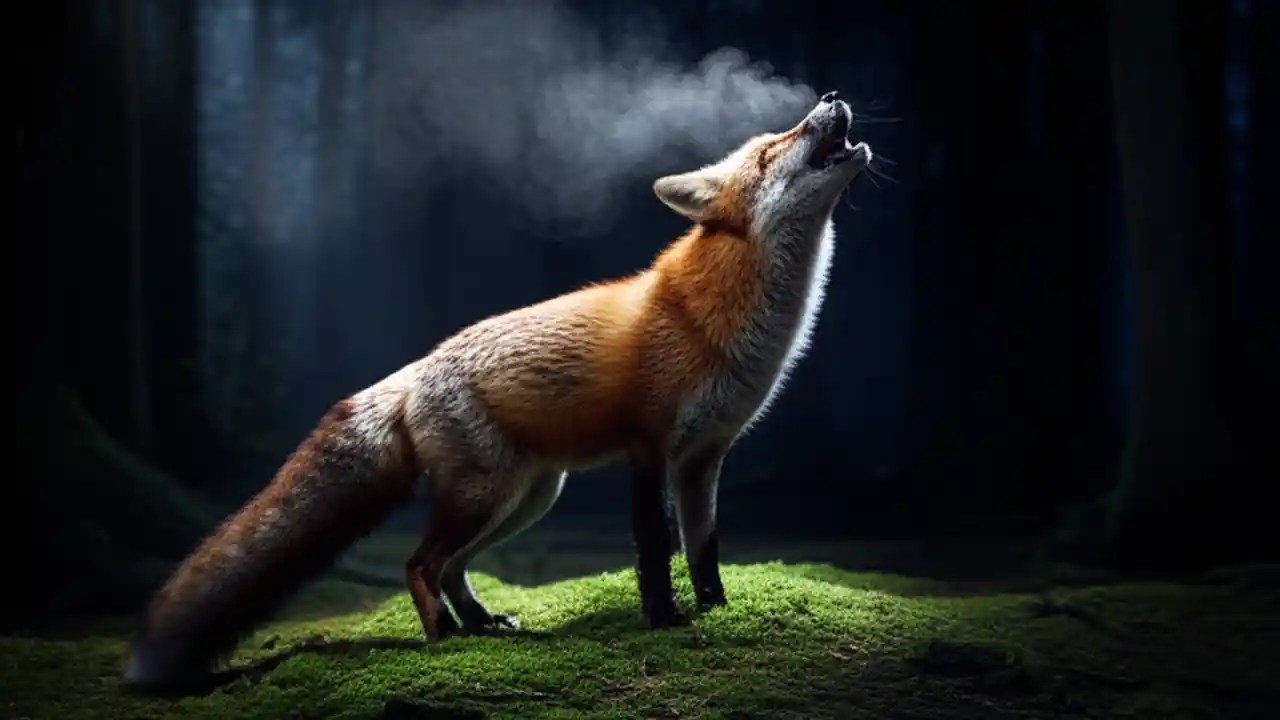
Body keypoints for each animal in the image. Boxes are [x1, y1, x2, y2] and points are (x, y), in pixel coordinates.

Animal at [123, 91, 871, 689]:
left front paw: (715, 610)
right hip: (488, 495)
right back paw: (442, 638)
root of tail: (412, 370)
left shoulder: (703, 458)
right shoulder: (648, 448)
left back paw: (481, 624)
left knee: (453, 568)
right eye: (774, 145)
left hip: (527, 498)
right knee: (420, 564)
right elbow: (656, 548)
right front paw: (663, 620)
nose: (832, 97)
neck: (716, 319)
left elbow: (706, 546)